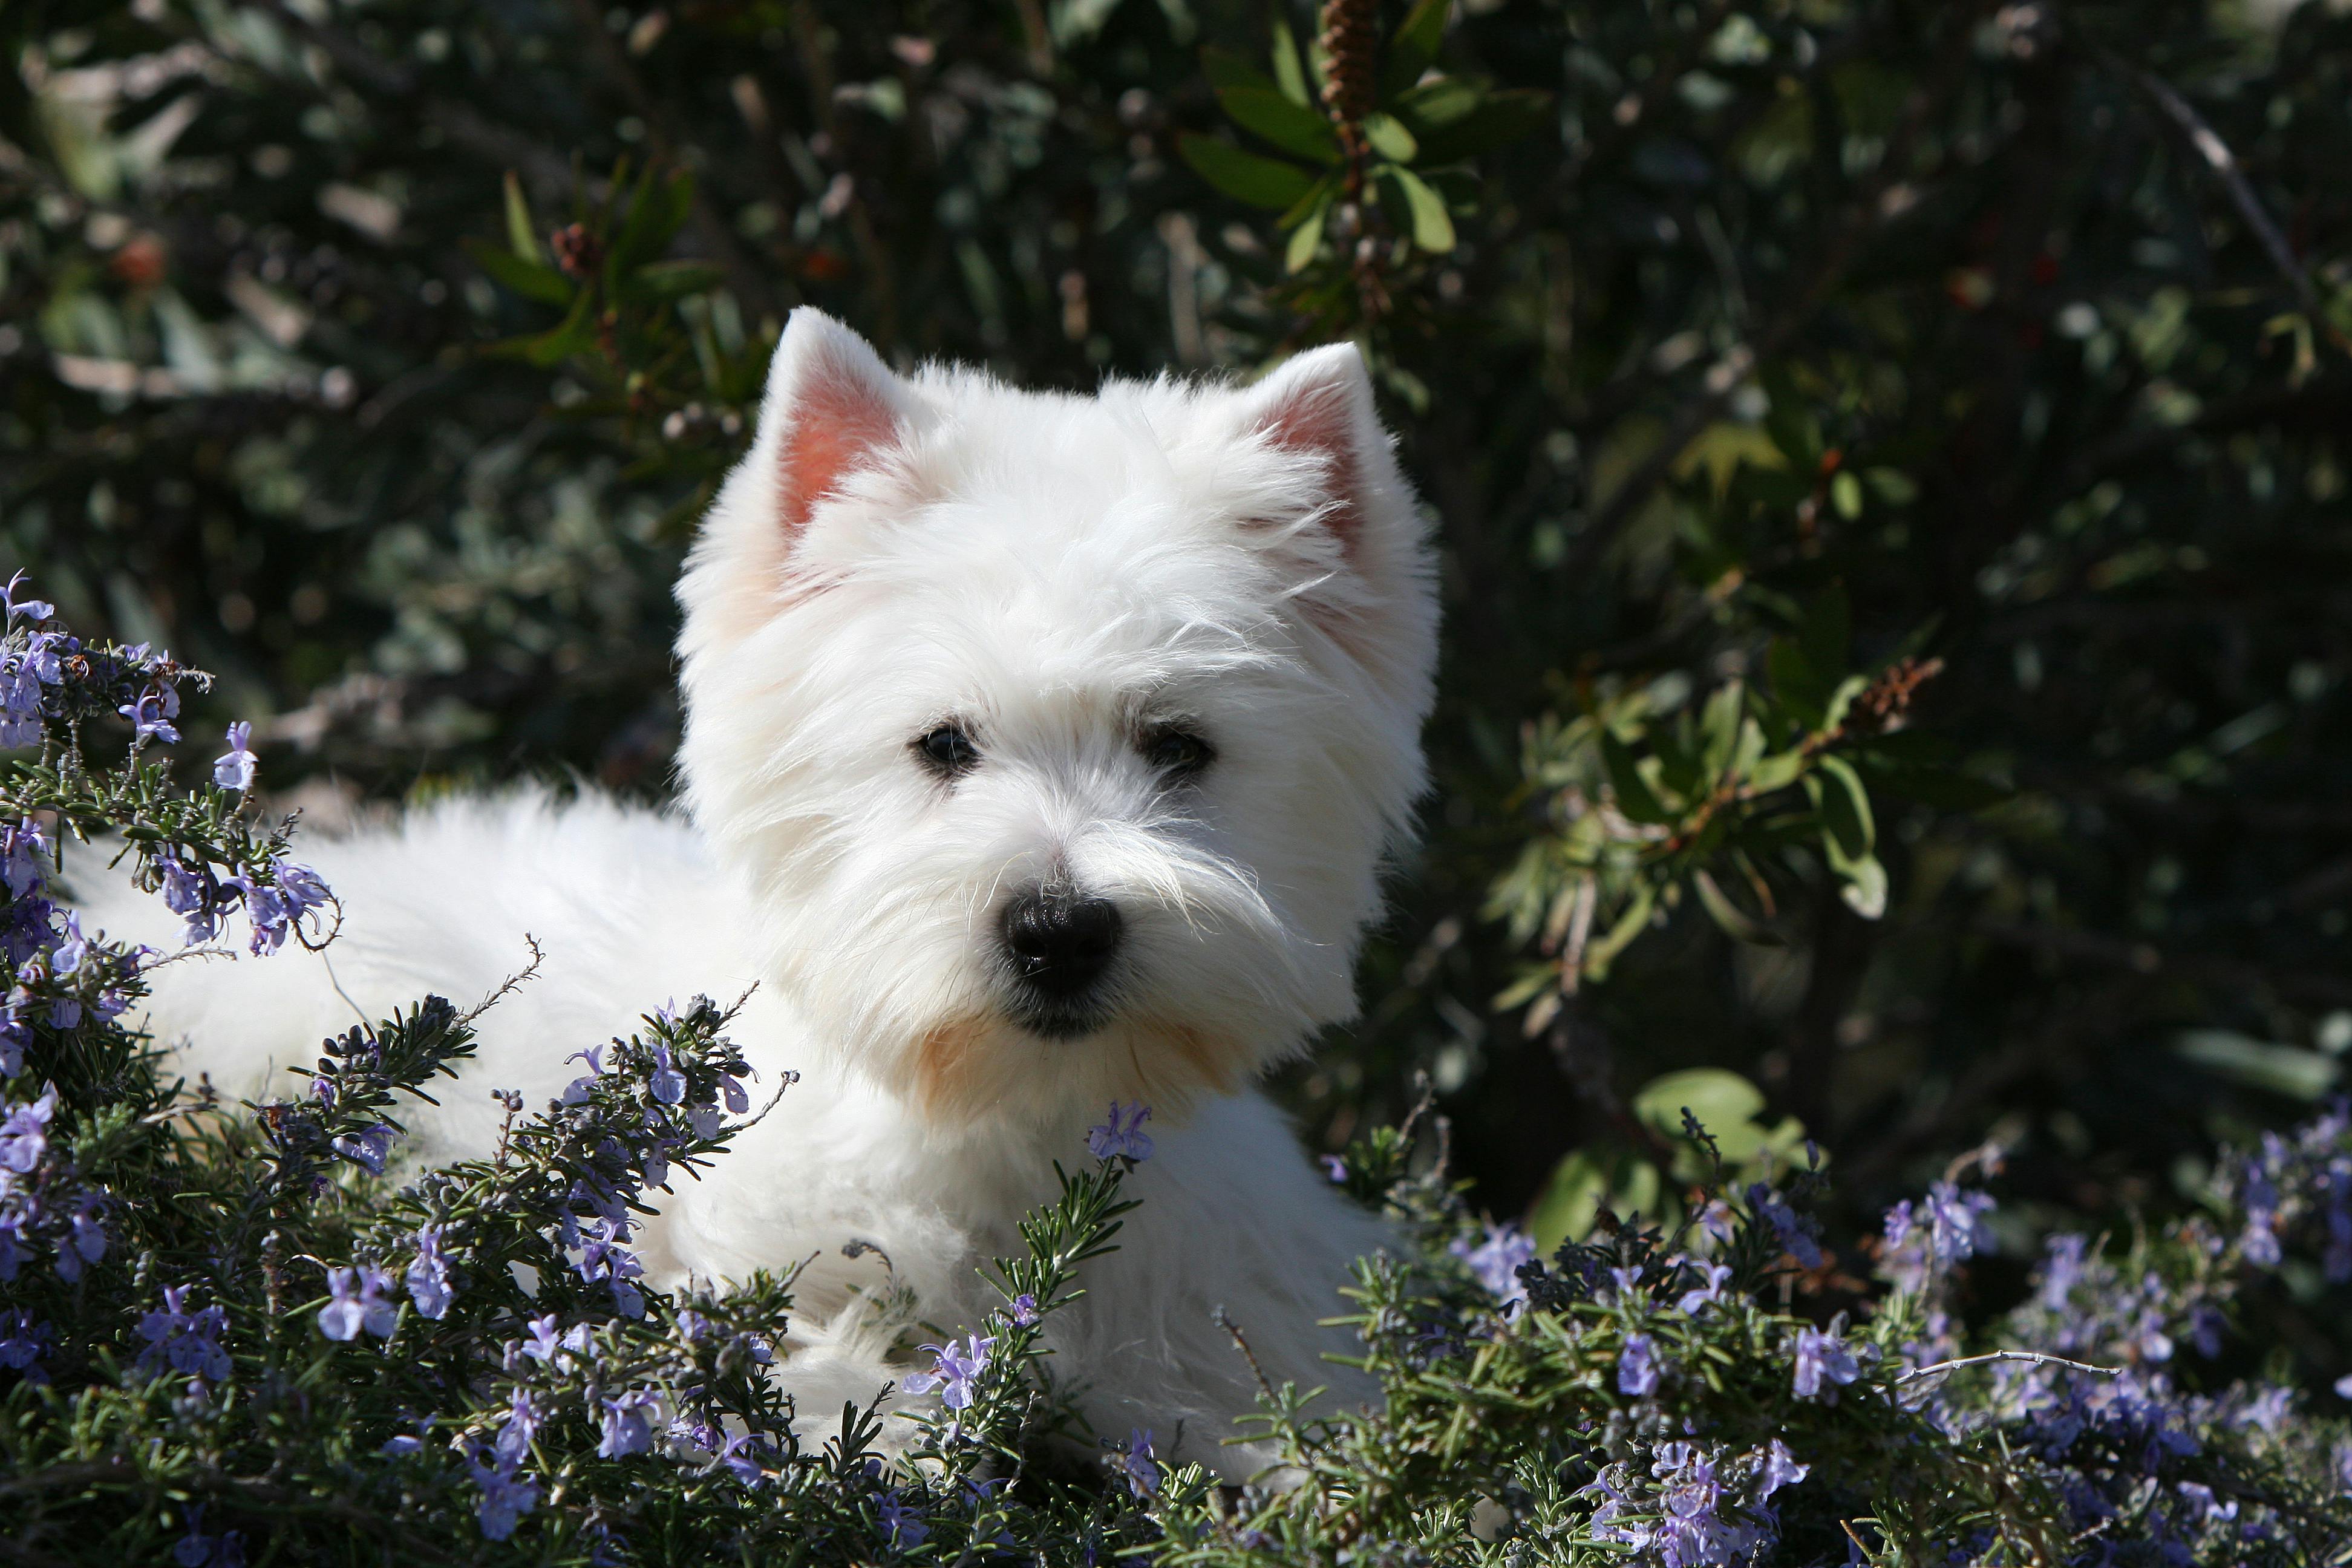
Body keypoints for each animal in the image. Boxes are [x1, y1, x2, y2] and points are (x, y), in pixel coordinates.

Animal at [87, 310, 1429, 1485]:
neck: (1003, 1131)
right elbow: (822, 1384)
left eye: (1180, 747)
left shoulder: (1240, 1313)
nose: (1057, 934)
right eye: (942, 744)